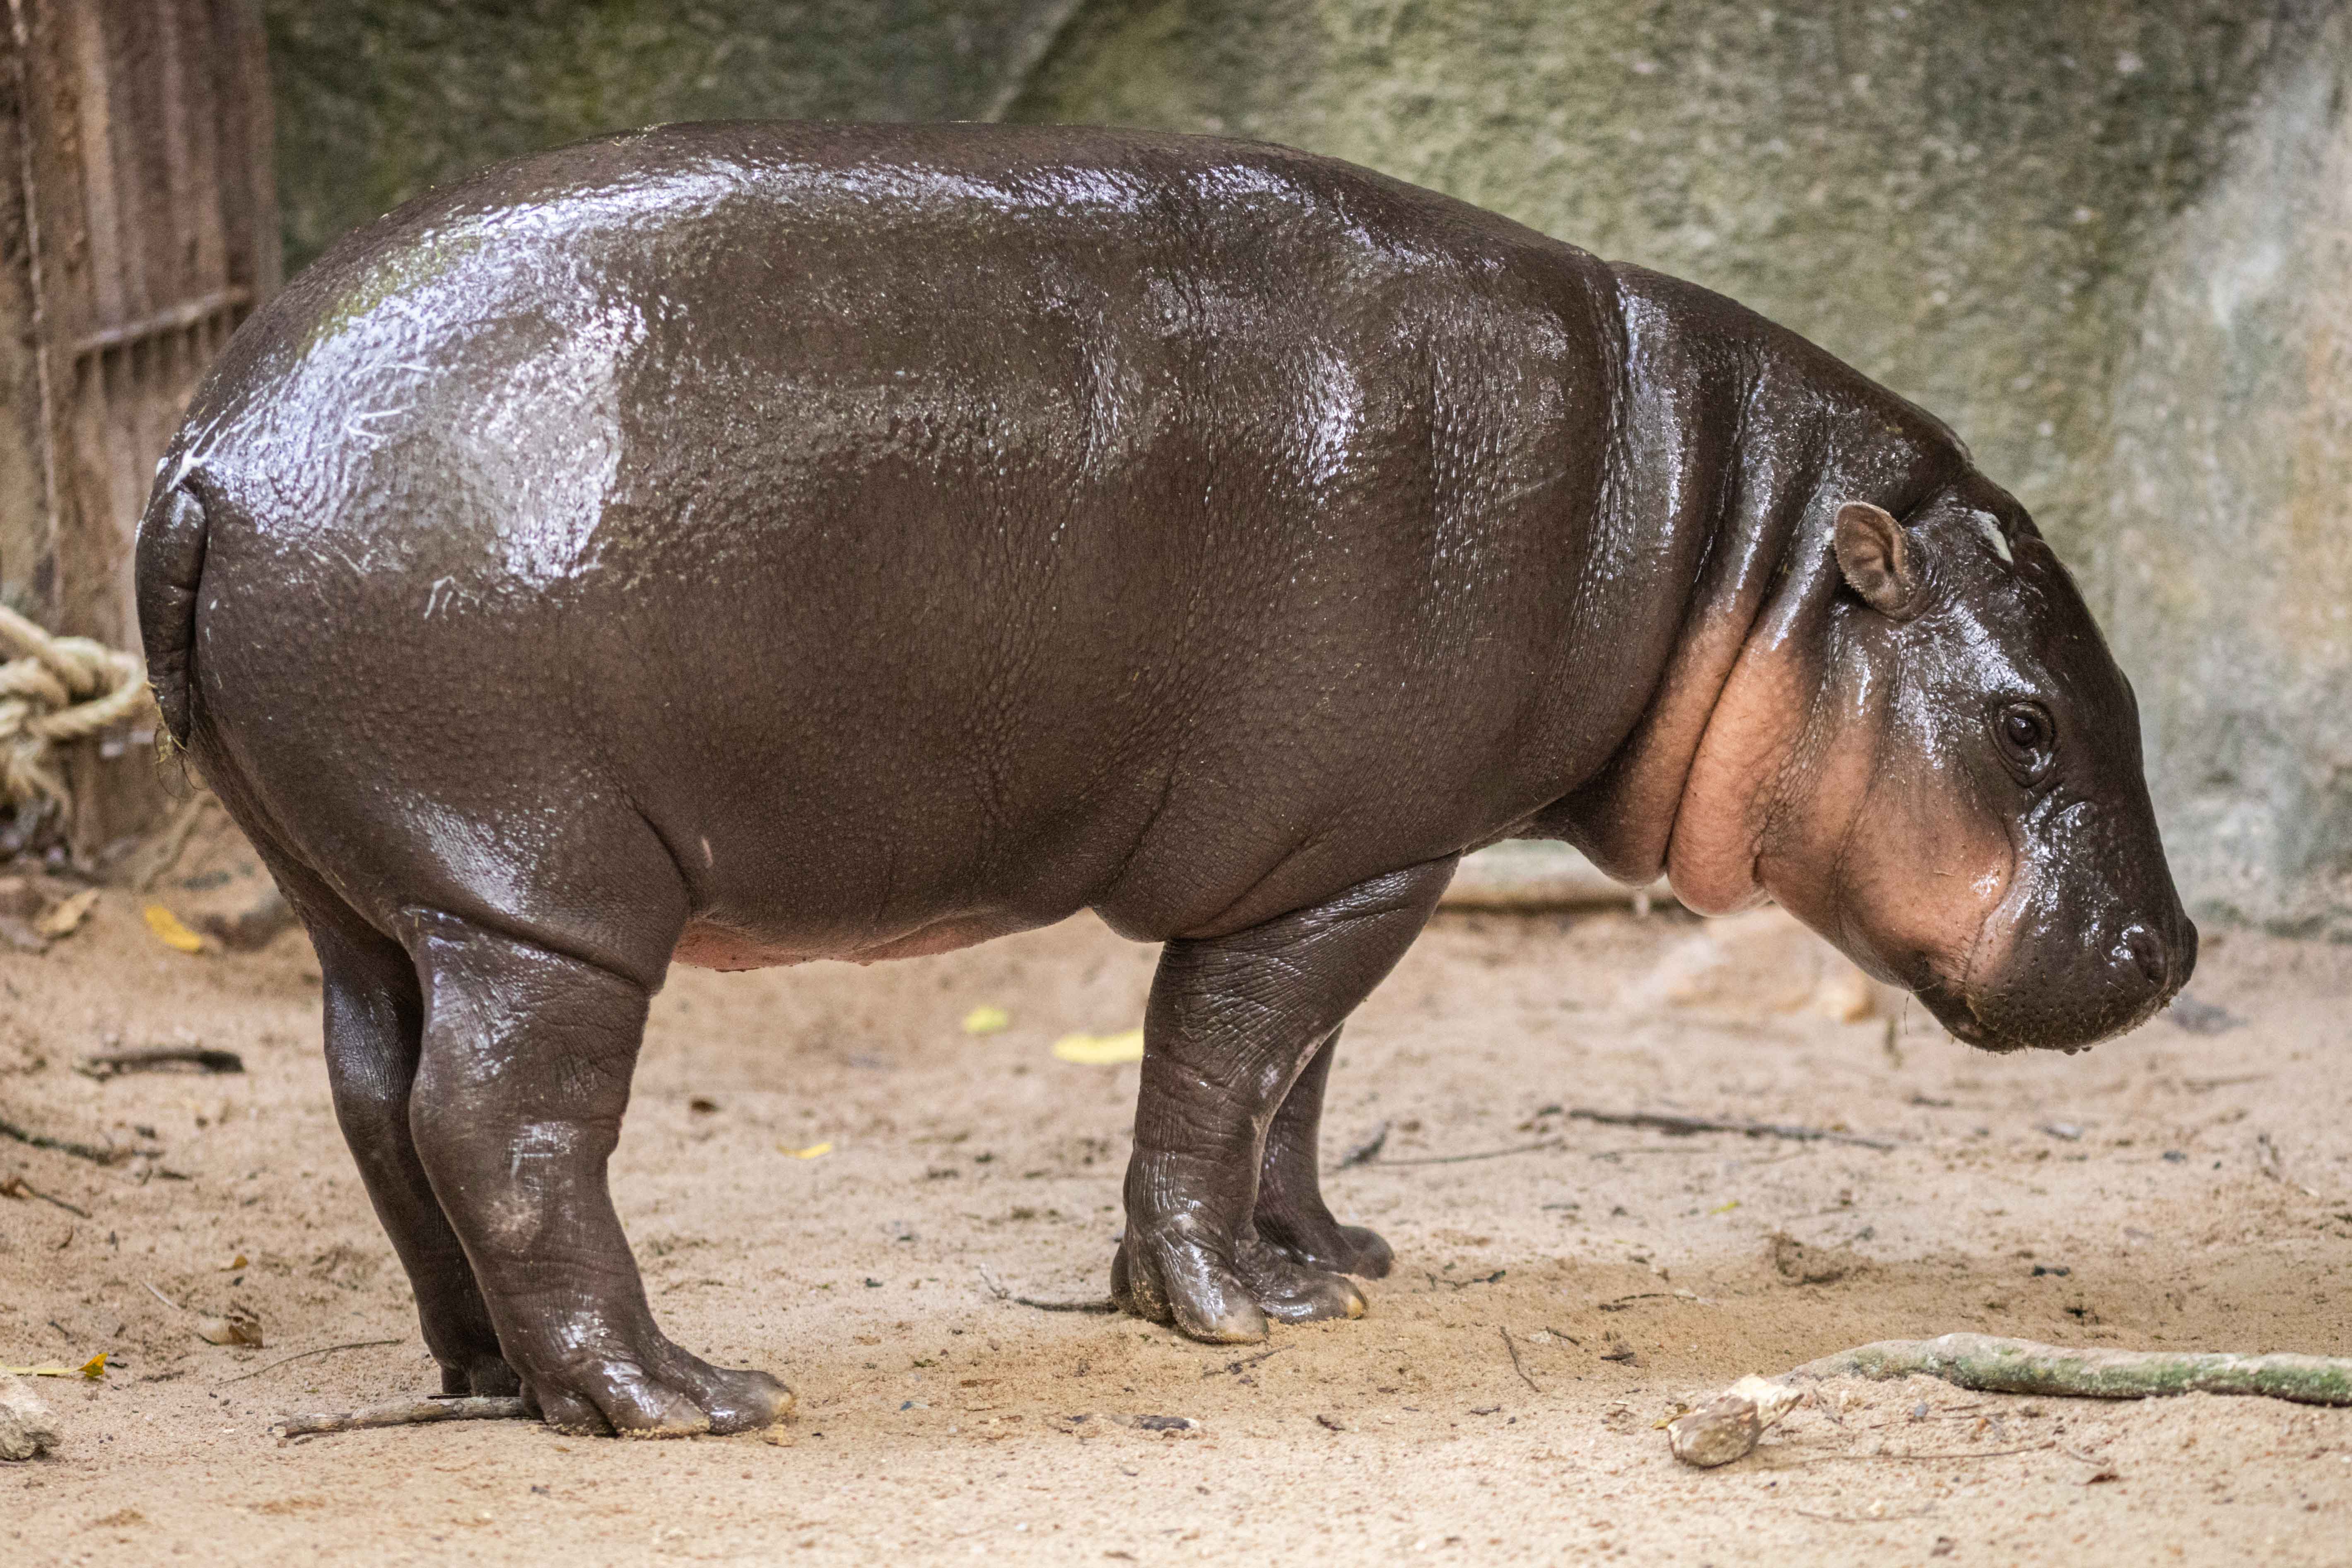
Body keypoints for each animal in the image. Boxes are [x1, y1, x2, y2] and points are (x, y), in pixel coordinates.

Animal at [135, 123, 2192, 1438]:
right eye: (2024, 723)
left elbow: (1298, 1083)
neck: (1717, 541)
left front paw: (1330, 1264)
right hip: (535, 891)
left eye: (2115, 689)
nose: (2167, 954)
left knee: (377, 1098)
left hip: (367, 886)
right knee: (503, 1124)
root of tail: (218, 437)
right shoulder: (1331, 864)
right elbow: (1219, 1071)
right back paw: (679, 1398)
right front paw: (1217, 1311)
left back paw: (494, 1374)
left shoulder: (1365, 853)